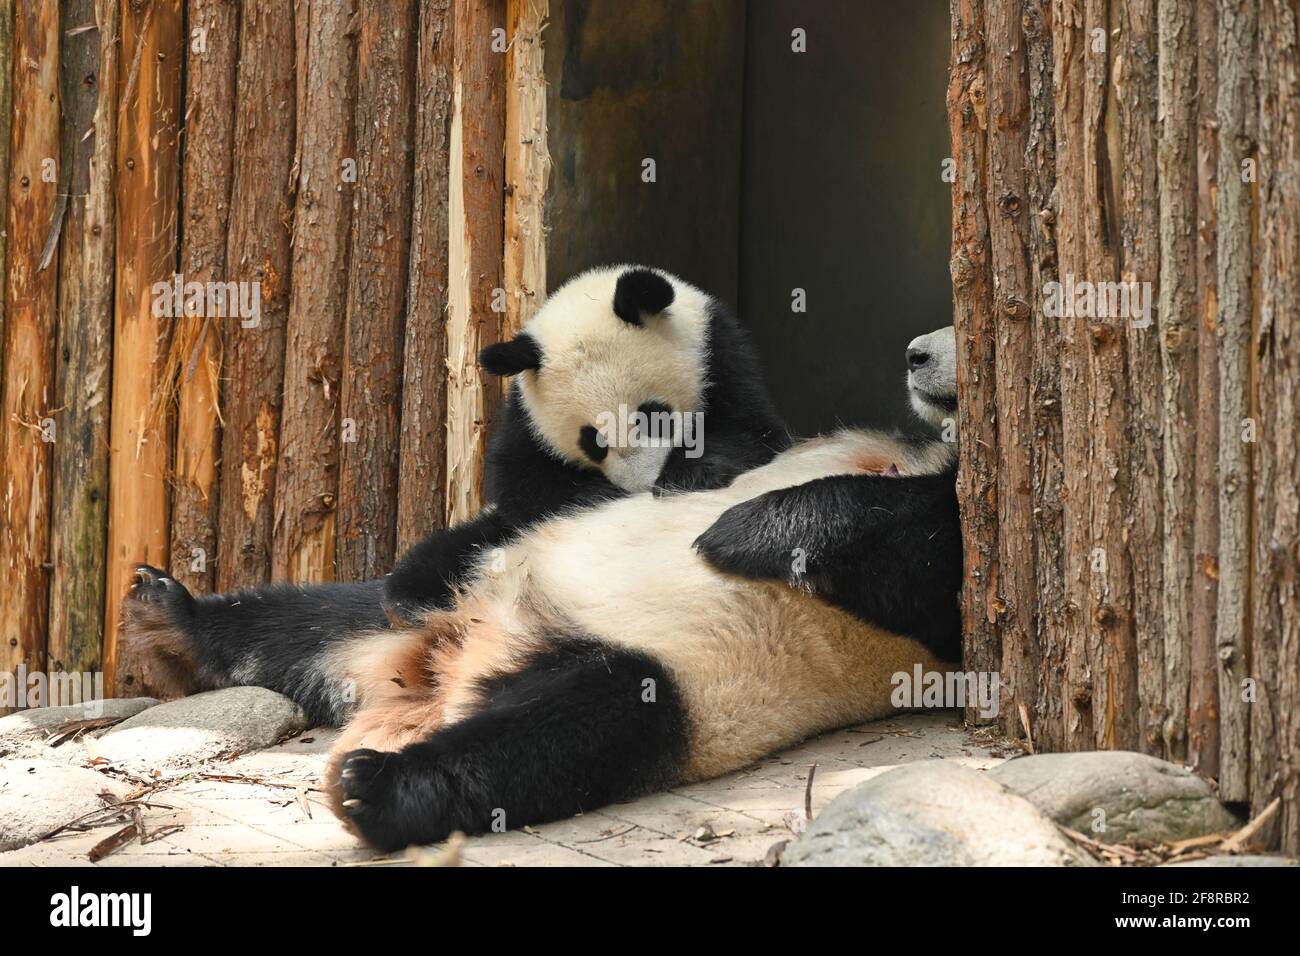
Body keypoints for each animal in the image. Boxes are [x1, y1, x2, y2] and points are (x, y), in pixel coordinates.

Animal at [121, 266, 789, 723]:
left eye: (652, 414)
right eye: (593, 440)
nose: (640, 487)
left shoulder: (723, 360)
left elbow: (753, 435)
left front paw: (693, 470)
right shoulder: (523, 420)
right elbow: (527, 490)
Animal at [315, 329, 963, 852]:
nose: (917, 354)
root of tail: (453, 664)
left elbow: (930, 552)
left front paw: (742, 533)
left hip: (681, 680)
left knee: (563, 731)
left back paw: (374, 788)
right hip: (413, 613)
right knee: (309, 619)